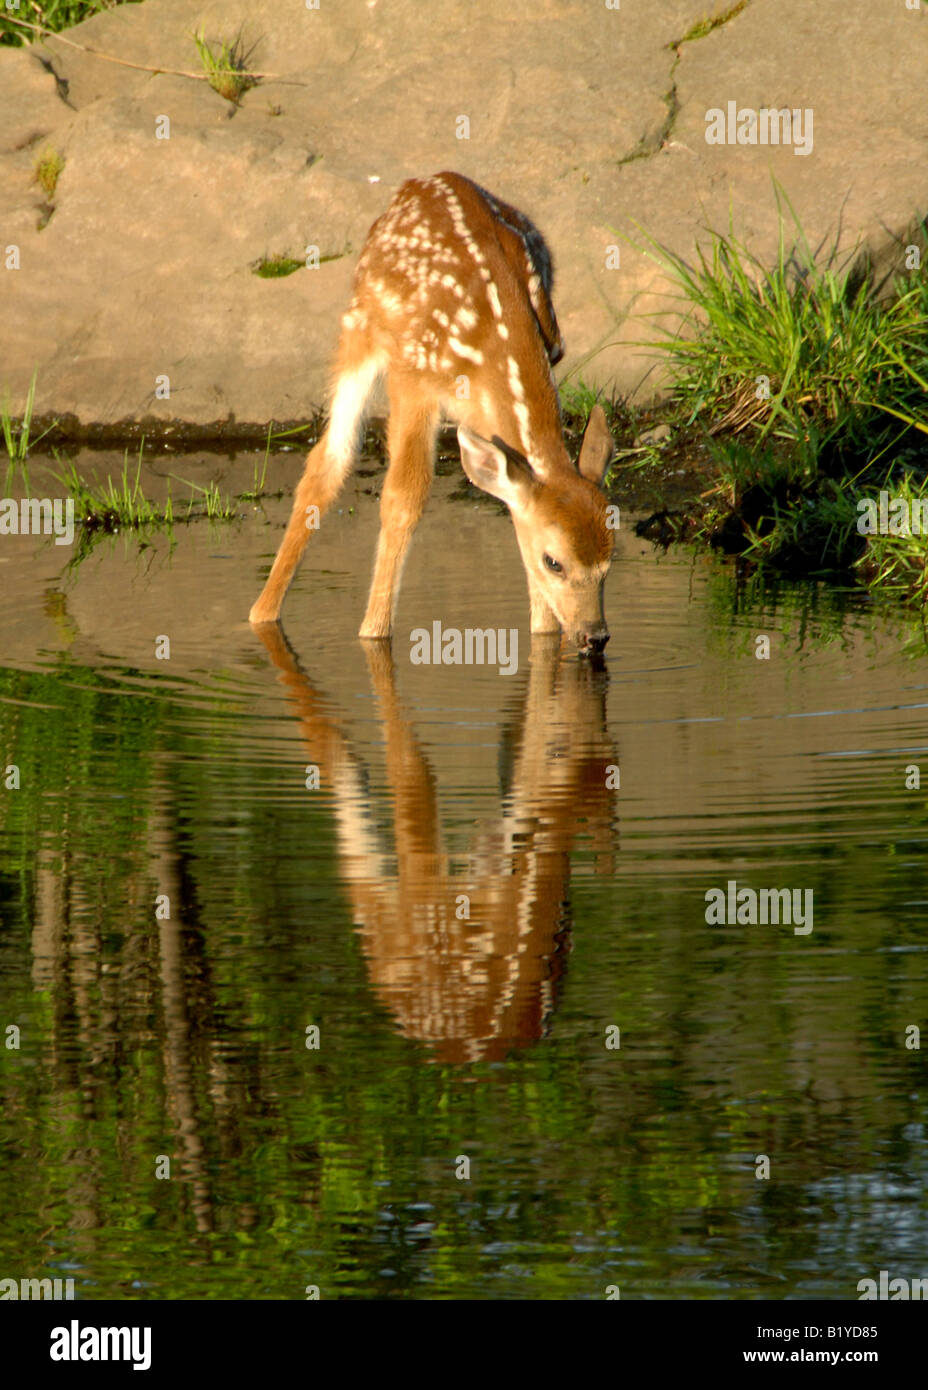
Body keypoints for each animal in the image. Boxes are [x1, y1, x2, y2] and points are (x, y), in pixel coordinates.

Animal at [249, 172, 615, 655]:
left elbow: (514, 513)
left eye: (611, 561)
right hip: (360, 325)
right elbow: (404, 497)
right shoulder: (414, 378)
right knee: (330, 460)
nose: (596, 636)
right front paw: (373, 632)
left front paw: (544, 634)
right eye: (554, 561)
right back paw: (261, 613)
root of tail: (426, 180)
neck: (491, 348)